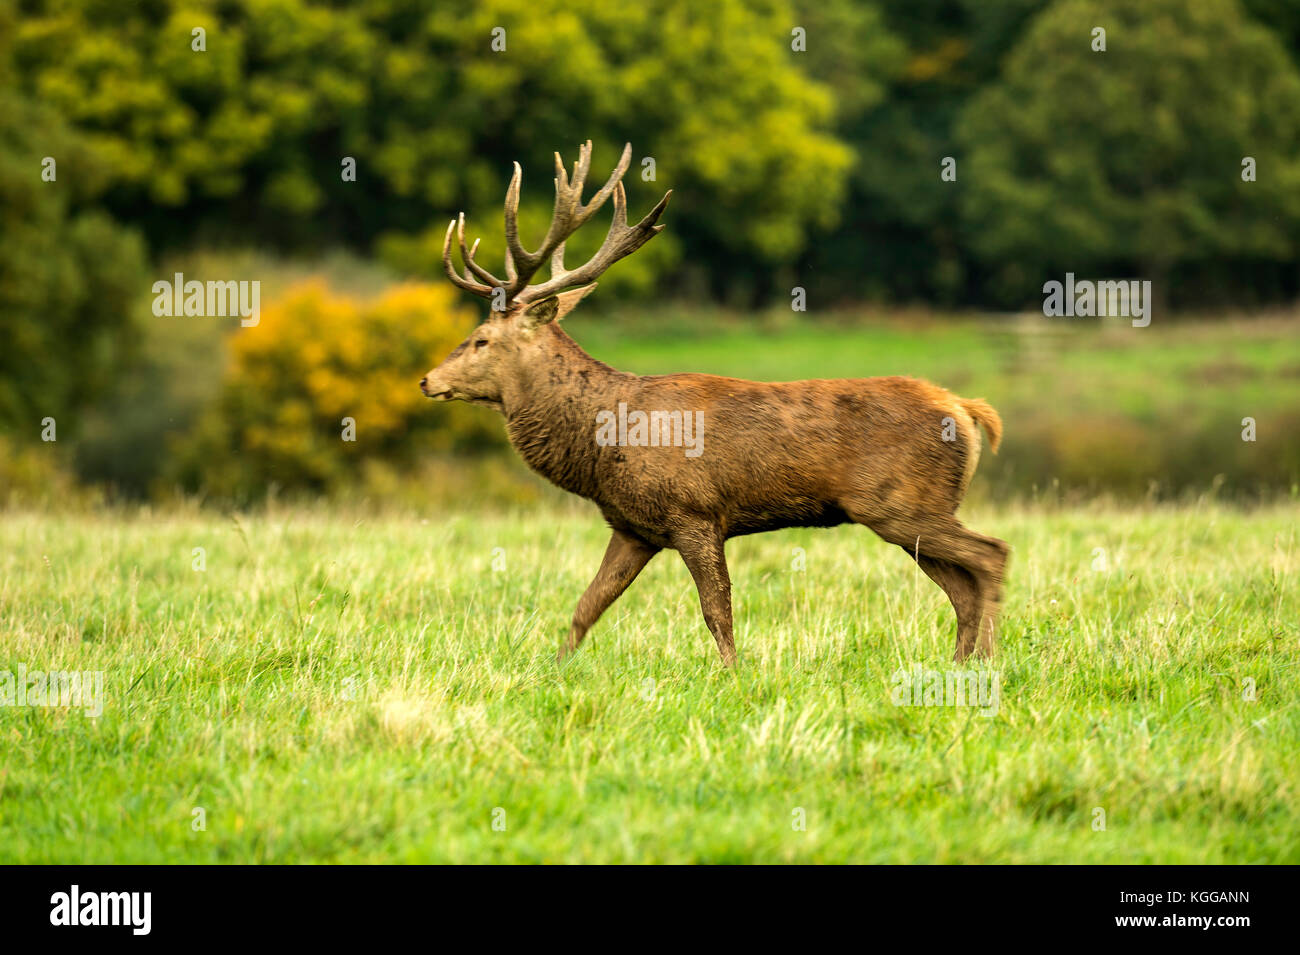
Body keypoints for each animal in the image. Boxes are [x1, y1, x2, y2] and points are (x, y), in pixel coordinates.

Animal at [421, 141, 1009, 666]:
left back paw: (986, 661)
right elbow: (587, 607)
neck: (603, 442)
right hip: (910, 511)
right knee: (962, 584)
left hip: (899, 503)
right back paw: (961, 662)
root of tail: (966, 409)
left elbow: (716, 610)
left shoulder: (695, 512)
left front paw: (732, 674)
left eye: (480, 340)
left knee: (991, 555)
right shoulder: (632, 528)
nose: (427, 380)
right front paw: (554, 670)